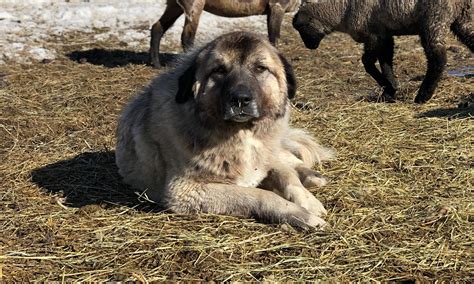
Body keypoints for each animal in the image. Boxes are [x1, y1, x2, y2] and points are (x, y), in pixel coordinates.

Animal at [115, 32, 334, 230]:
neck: (240, 134)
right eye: (219, 70)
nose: (240, 99)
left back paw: (312, 176)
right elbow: (262, 194)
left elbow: (287, 177)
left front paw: (308, 202)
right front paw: (300, 215)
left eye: (260, 68)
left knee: (288, 159)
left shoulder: (266, 159)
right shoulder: (185, 191)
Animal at [151, 0, 300, 67]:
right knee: (186, 37)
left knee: (157, 27)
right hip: (194, 4)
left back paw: (156, 63)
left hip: (174, 4)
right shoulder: (277, 5)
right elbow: (274, 38)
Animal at [292, 0, 474, 103]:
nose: (309, 46)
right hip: (463, 17)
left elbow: (367, 62)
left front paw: (388, 86)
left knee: (438, 59)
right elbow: (386, 60)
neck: (341, 10)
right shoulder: (384, 34)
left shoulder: (374, 35)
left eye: (301, 27)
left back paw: (423, 96)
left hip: (433, 18)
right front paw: (392, 86)